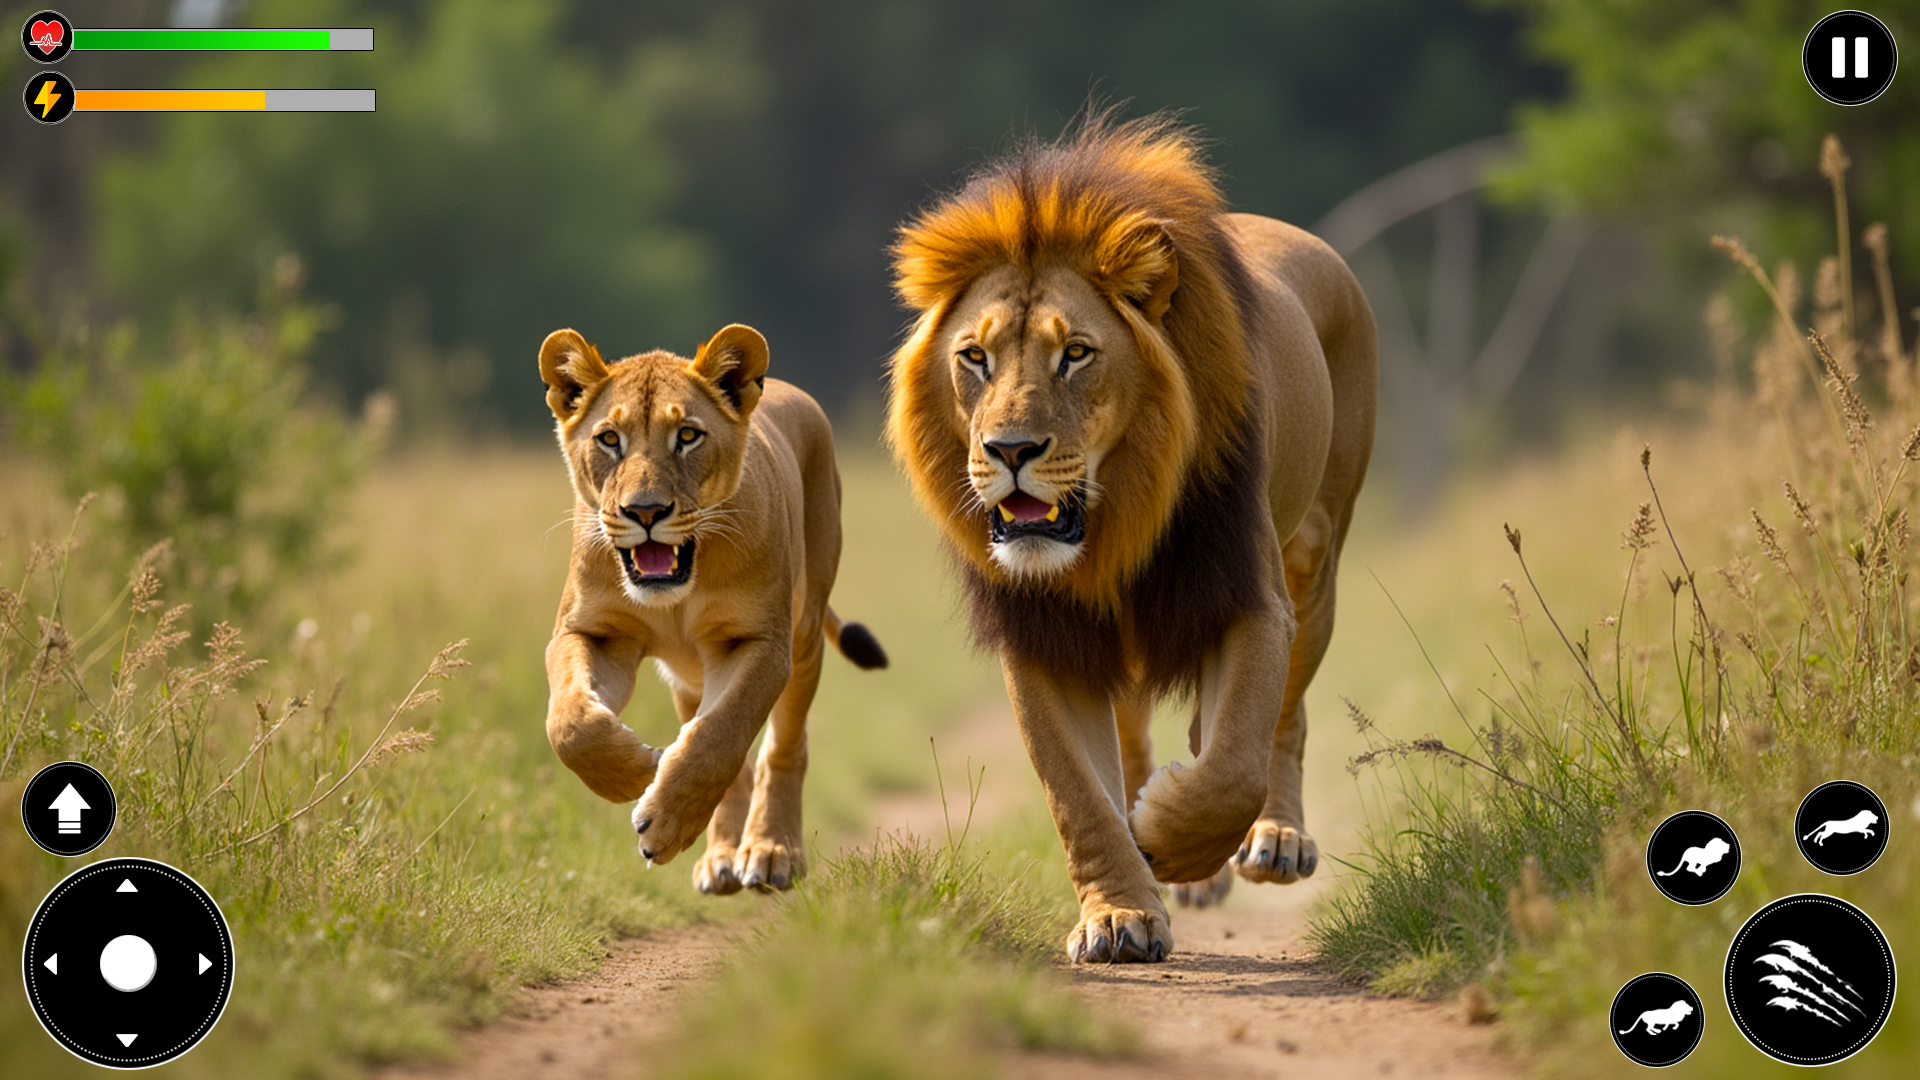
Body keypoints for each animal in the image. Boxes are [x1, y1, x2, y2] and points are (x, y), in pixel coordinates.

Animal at [539, 323, 887, 895]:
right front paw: (638, 771)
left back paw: (771, 854)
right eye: (609, 439)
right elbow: (571, 724)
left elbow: (718, 736)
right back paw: (721, 857)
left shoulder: (759, 641)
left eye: (687, 436)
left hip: (805, 636)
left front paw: (666, 819)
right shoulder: (592, 632)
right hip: (688, 676)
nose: (645, 512)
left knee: (783, 748)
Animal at [885, 114, 1375, 962]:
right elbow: (1078, 794)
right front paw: (1119, 912)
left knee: (1281, 718)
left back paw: (1272, 839)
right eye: (974, 357)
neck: (1116, 525)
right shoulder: (1044, 634)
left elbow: (1234, 762)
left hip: (1315, 557)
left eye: (1075, 353)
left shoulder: (1246, 597)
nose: (1010, 450)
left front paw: (1174, 838)